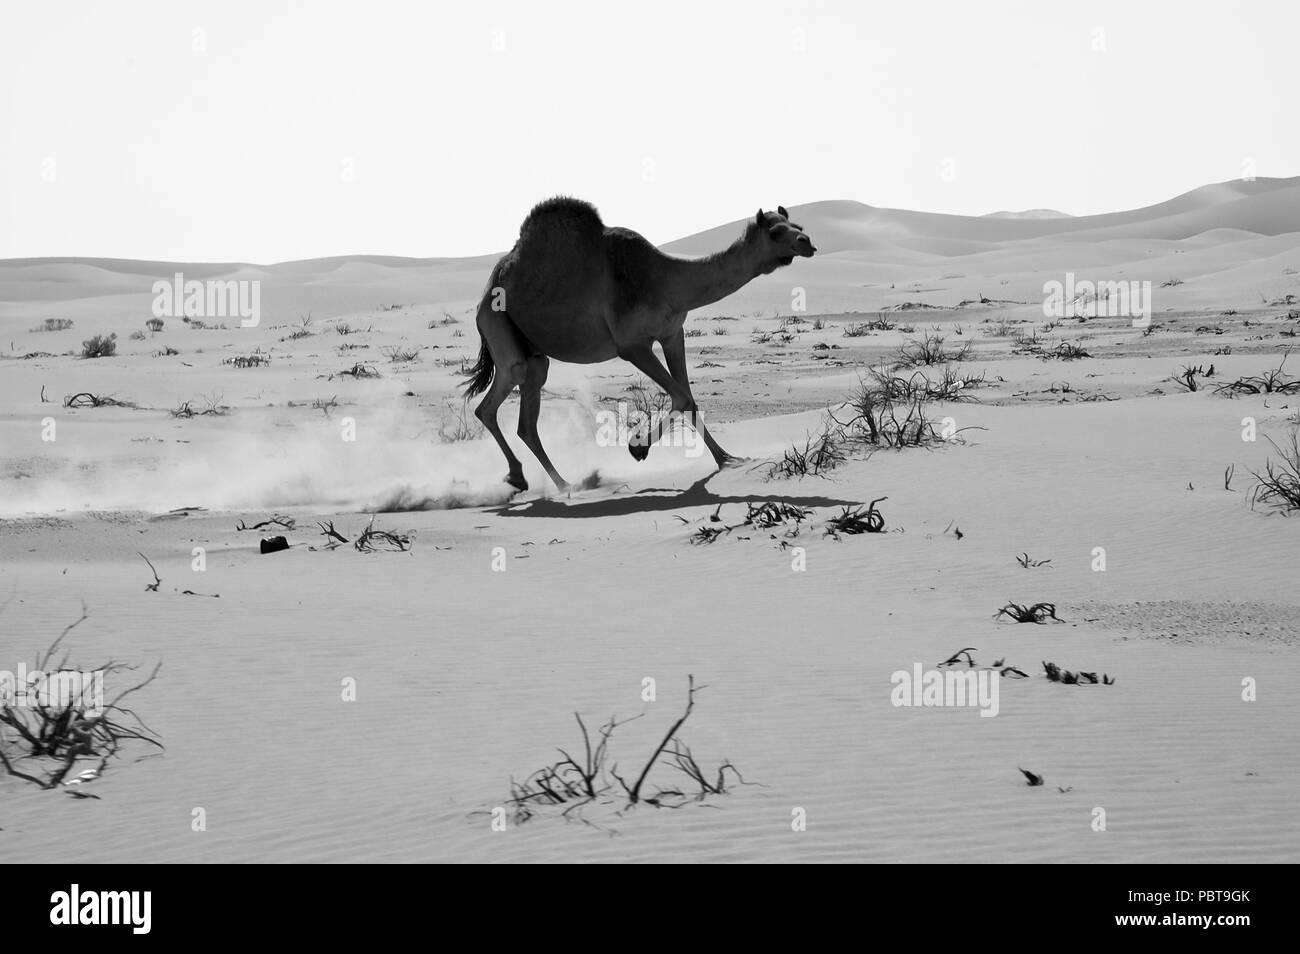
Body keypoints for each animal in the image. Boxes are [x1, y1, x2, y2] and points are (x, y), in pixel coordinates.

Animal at [463, 197, 817, 492]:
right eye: (775, 232)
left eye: (798, 227)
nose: (808, 243)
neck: (663, 280)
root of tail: (486, 292)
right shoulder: (632, 345)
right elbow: (680, 396)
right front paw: (638, 447)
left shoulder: (673, 333)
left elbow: (690, 399)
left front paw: (728, 459)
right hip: (497, 323)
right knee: (502, 392)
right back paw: (546, 482)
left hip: (533, 352)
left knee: (521, 414)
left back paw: (546, 481)